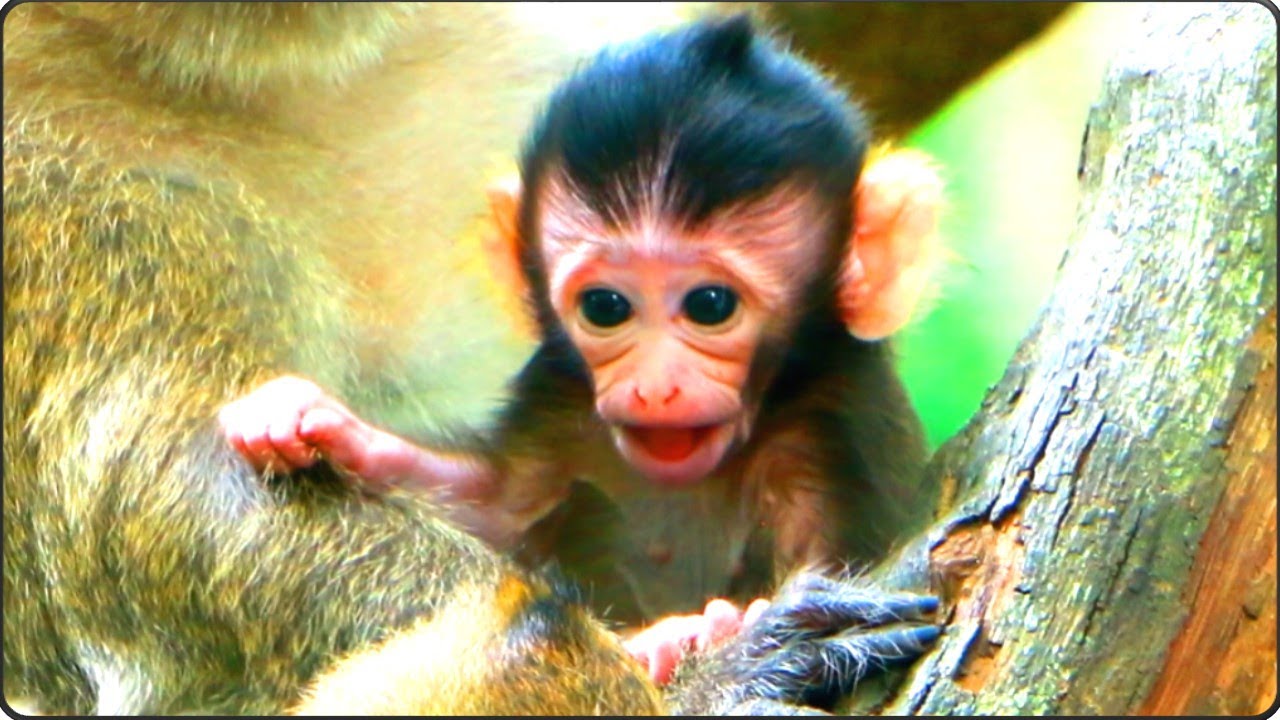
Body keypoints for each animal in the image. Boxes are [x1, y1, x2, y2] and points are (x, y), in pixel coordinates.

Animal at [2, 3, 939, 714]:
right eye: (606, 309)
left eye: (711, 307)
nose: (658, 389)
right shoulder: (64, 195)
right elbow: (160, 489)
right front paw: (699, 667)